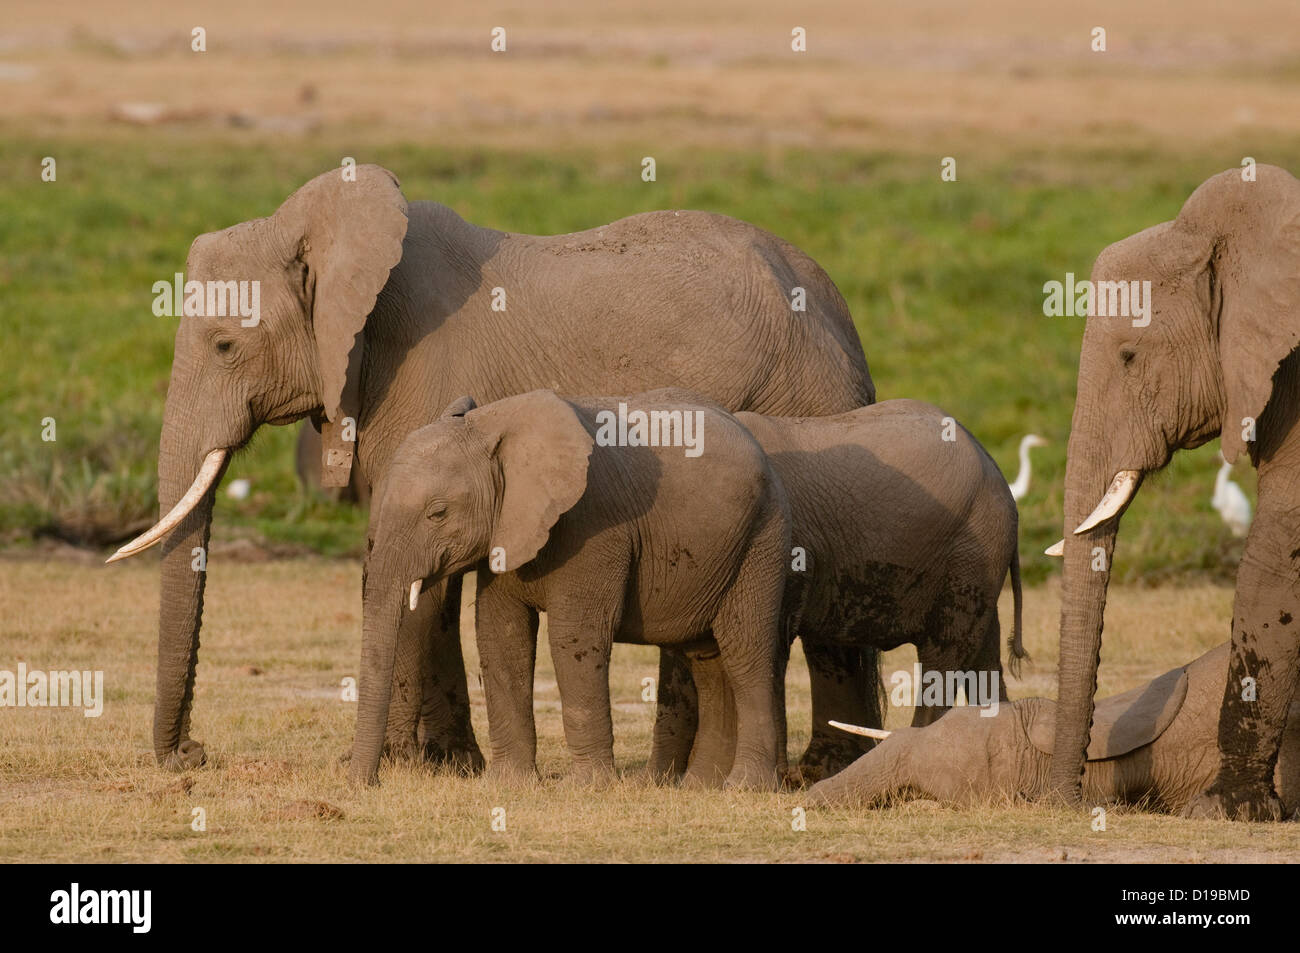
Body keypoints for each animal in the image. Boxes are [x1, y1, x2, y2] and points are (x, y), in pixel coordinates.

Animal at [363, 390, 790, 789]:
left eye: (437, 513)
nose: (371, 782)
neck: (492, 423)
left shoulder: (595, 527)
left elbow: (575, 636)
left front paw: (586, 786)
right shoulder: (508, 527)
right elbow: (501, 635)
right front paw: (509, 783)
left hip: (762, 536)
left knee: (745, 652)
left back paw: (744, 786)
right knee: (708, 660)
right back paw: (701, 786)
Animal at [660, 399, 1026, 784]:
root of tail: (995, 468)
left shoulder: (788, 549)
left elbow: (772, 644)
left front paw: (780, 779)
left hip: (972, 548)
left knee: (945, 652)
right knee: (983, 652)